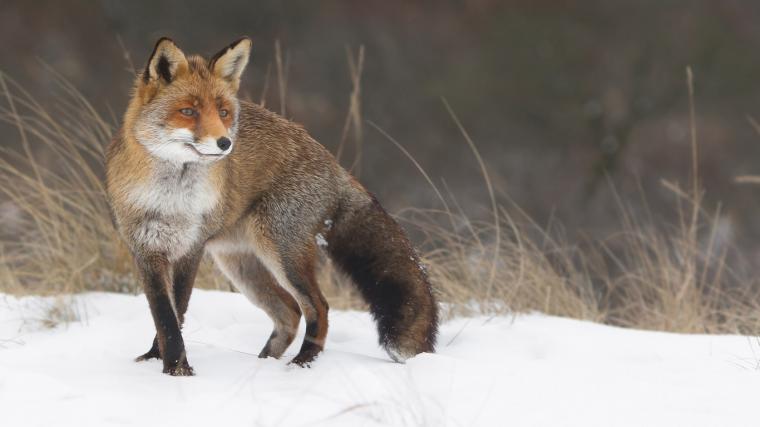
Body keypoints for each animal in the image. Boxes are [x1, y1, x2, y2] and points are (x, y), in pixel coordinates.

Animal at [105, 37, 438, 375]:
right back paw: (264, 362)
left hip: (280, 251)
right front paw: (160, 362)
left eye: (223, 112)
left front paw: (177, 371)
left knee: (317, 306)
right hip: (241, 265)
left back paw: (302, 362)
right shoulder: (146, 250)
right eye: (187, 111)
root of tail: (334, 163)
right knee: (289, 312)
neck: (171, 201)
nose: (225, 143)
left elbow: (177, 313)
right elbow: (164, 316)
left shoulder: (191, 249)